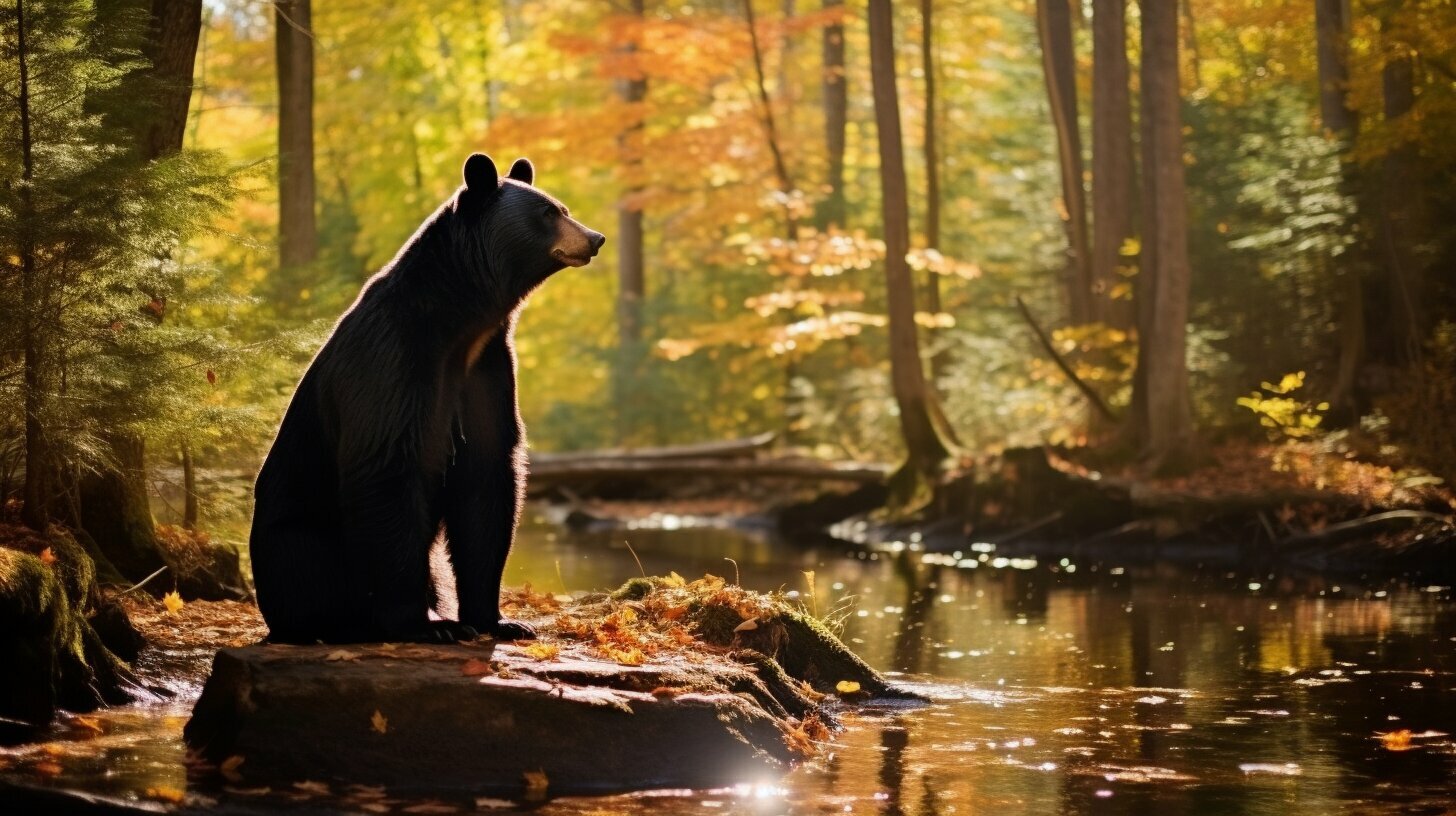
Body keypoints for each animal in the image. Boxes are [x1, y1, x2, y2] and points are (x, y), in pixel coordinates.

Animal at [249, 153, 604, 644]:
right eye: (549, 212)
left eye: (561, 208)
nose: (595, 238)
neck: (461, 326)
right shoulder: (395, 357)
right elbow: (388, 467)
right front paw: (425, 624)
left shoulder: (487, 370)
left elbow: (488, 475)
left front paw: (497, 619)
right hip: (298, 536)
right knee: (310, 567)